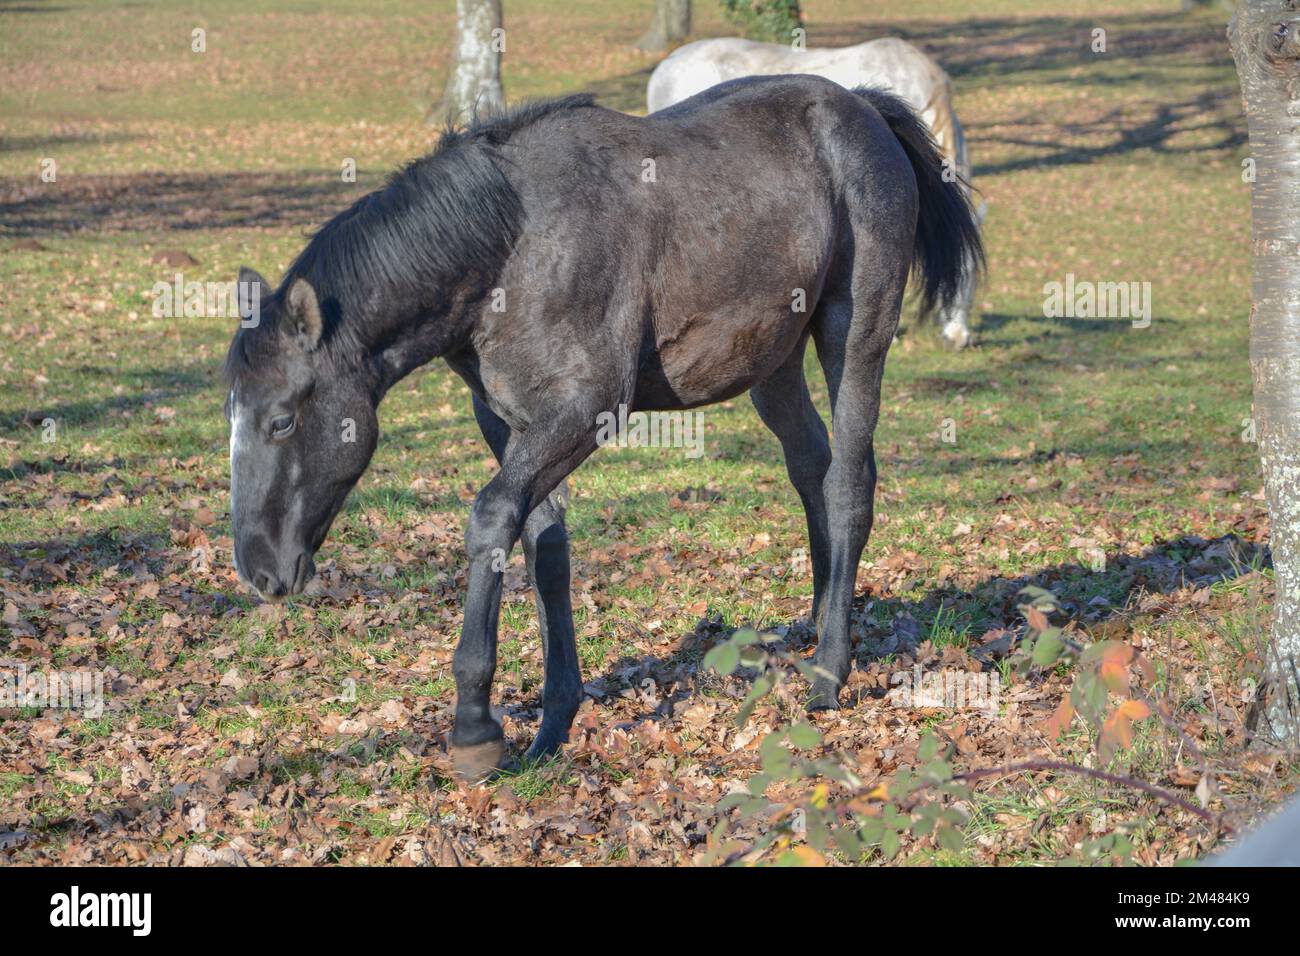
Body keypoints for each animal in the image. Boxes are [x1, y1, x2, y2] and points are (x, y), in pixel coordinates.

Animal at [223, 75, 983, 782]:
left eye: (282, 419)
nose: (260, 572)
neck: (511, 246)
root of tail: (859, 105)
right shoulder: (511, 424)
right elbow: (545, 550)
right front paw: (553, 720)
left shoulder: (584, 410)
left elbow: (490, 518)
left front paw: (475, 729)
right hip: (773, 367)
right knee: (813, 472)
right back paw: (821, 626)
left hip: (853, 338)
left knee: (850, 483)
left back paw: (829, 671)